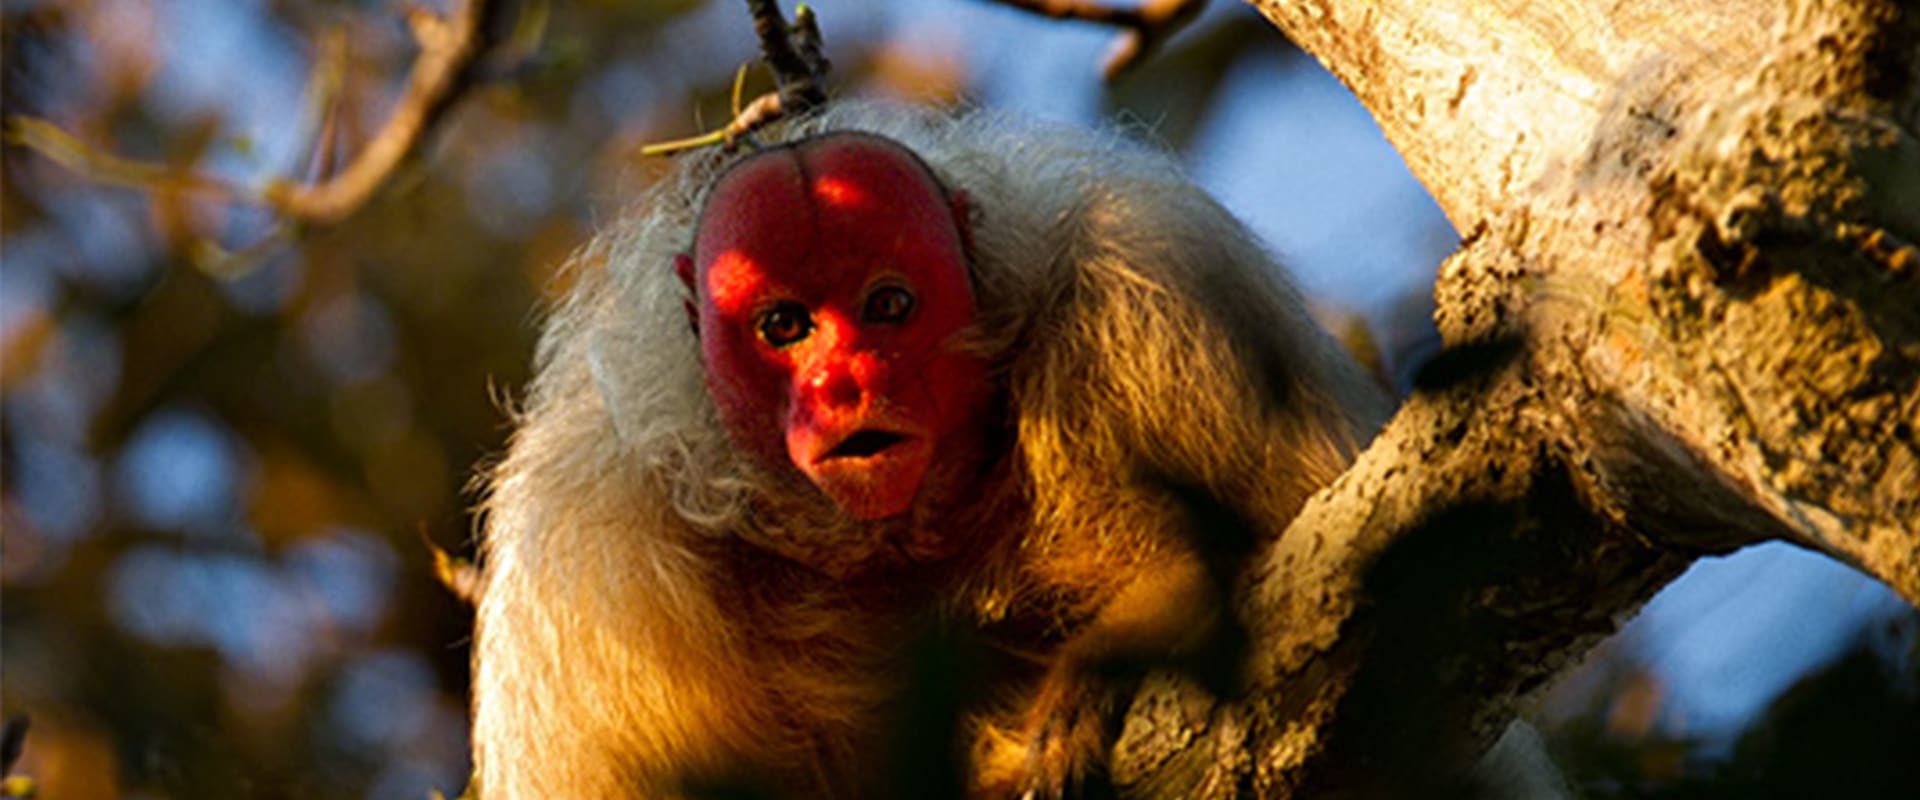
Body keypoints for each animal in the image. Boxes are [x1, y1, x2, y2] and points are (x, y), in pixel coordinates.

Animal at [470, 101, 1391, 798]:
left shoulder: (1165, 291)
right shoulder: (595, 570)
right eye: (783, 326)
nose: (845, 383)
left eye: (888, 305)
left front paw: (1115, 655)